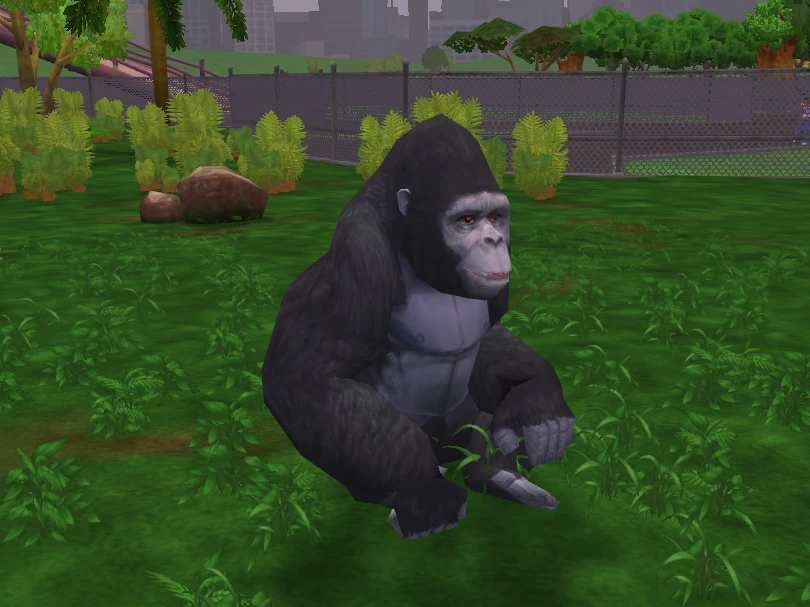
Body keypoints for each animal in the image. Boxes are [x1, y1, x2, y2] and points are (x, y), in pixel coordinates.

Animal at [262, 114, 575, 539]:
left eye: (495, 217)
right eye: (466, 221)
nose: (494, 240)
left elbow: (492, 337)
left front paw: (539, 400)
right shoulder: (359, 256)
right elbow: (305, 376)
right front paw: (426, 497)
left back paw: (496, 474)